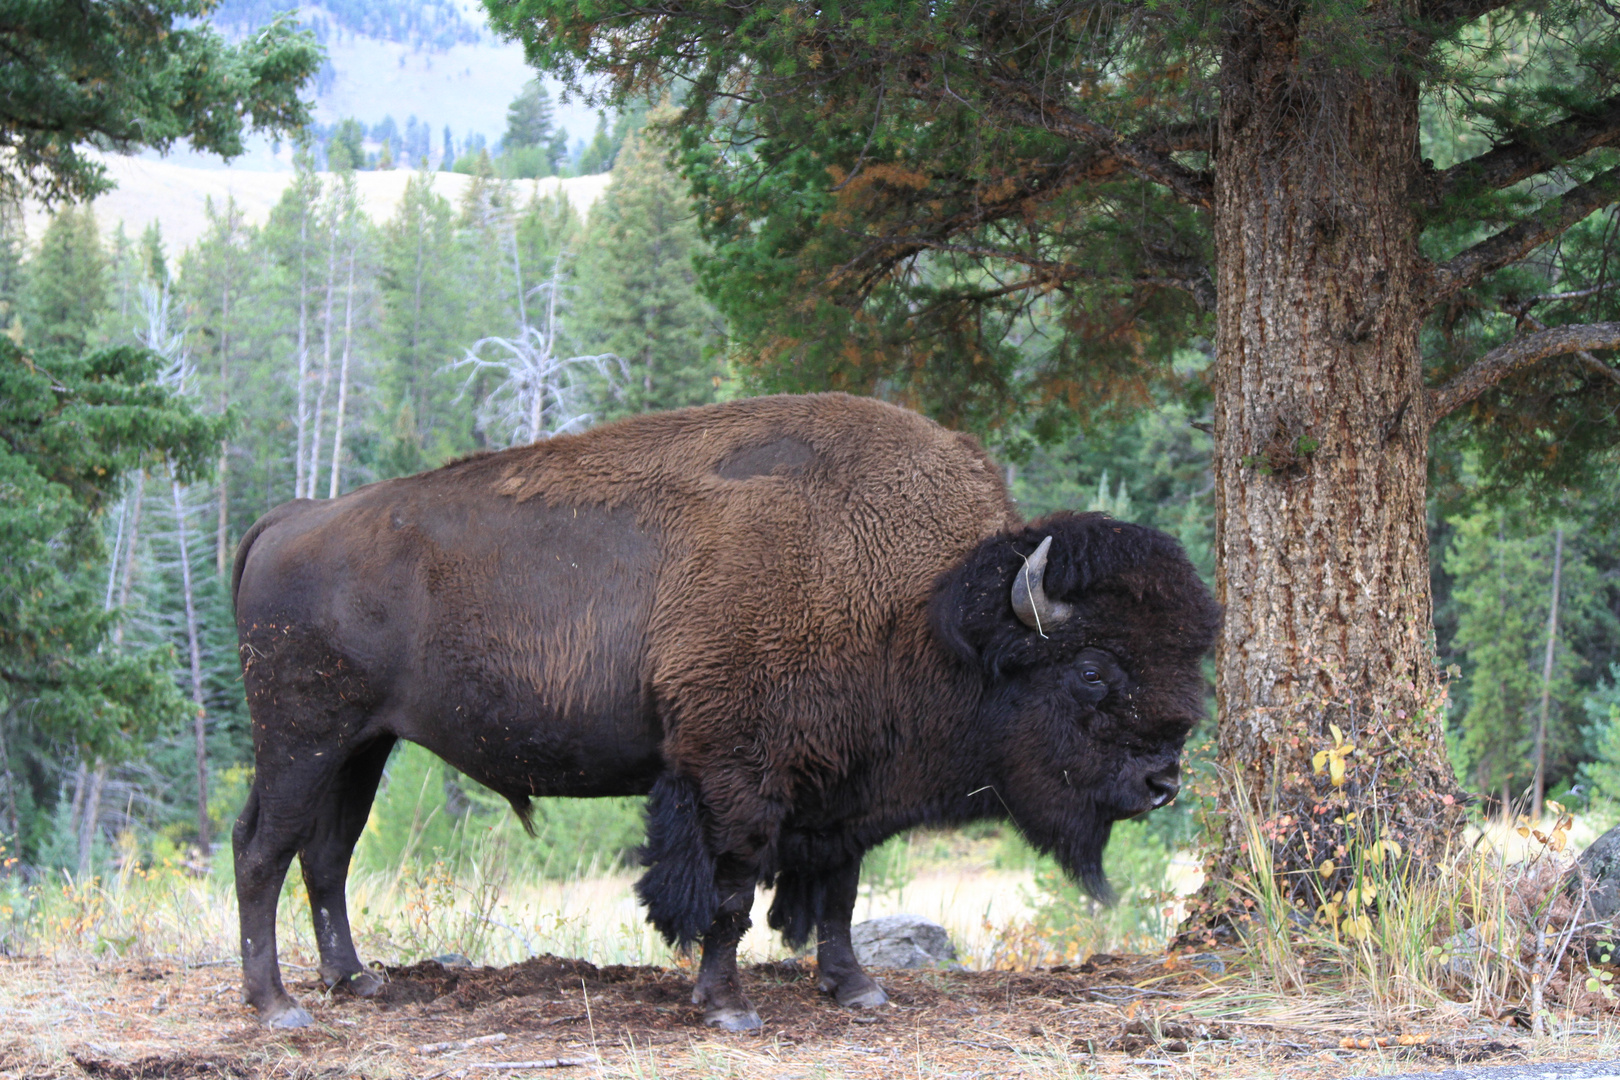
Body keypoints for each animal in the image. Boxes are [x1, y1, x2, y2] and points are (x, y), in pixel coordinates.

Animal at [230, 392, 1219, 1030]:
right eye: (1092, 670)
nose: (1163, 782)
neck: (926, 608)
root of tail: (290, 517)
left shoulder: (840, 787)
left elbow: (839, 893)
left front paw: (856, 991)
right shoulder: (737, 771)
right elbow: (734, 890)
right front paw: (729, 1008)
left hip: (363, 747)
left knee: (326, 856)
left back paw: (356, 983)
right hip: (302, 738)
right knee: (263, 850)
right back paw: (279, 1009)